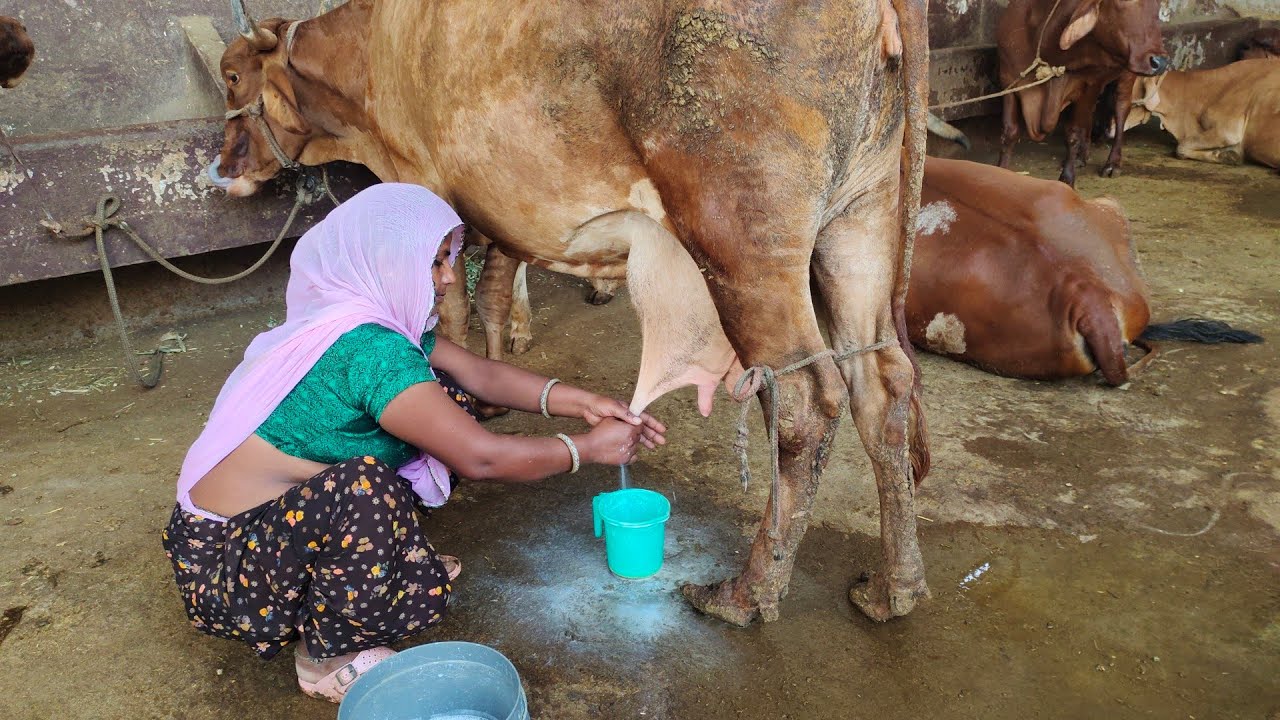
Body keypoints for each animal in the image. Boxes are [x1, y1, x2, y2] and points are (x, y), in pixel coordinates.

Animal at [211, 0, 934, 626]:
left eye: (230, 76)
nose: (220, 167)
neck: (367, 60)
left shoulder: (429, 180)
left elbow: (449, 305)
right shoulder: (500, 207)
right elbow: (495, 286)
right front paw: (490, 388)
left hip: (745, 236)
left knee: (805, 401)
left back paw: (746, 595)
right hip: (862, 215)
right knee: (882, 385)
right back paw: (894, 587)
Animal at [996, 0, 1170, 186]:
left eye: (1158, 4)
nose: (1161, 62)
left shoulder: (1087, 85)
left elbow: (1073, 133)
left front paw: (1067, 178)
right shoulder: (1007, 80)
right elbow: (1009, 132)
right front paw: (1001, 170)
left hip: (1126, 76)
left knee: (1121, 109)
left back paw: (1112, 163)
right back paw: (1082, 155)